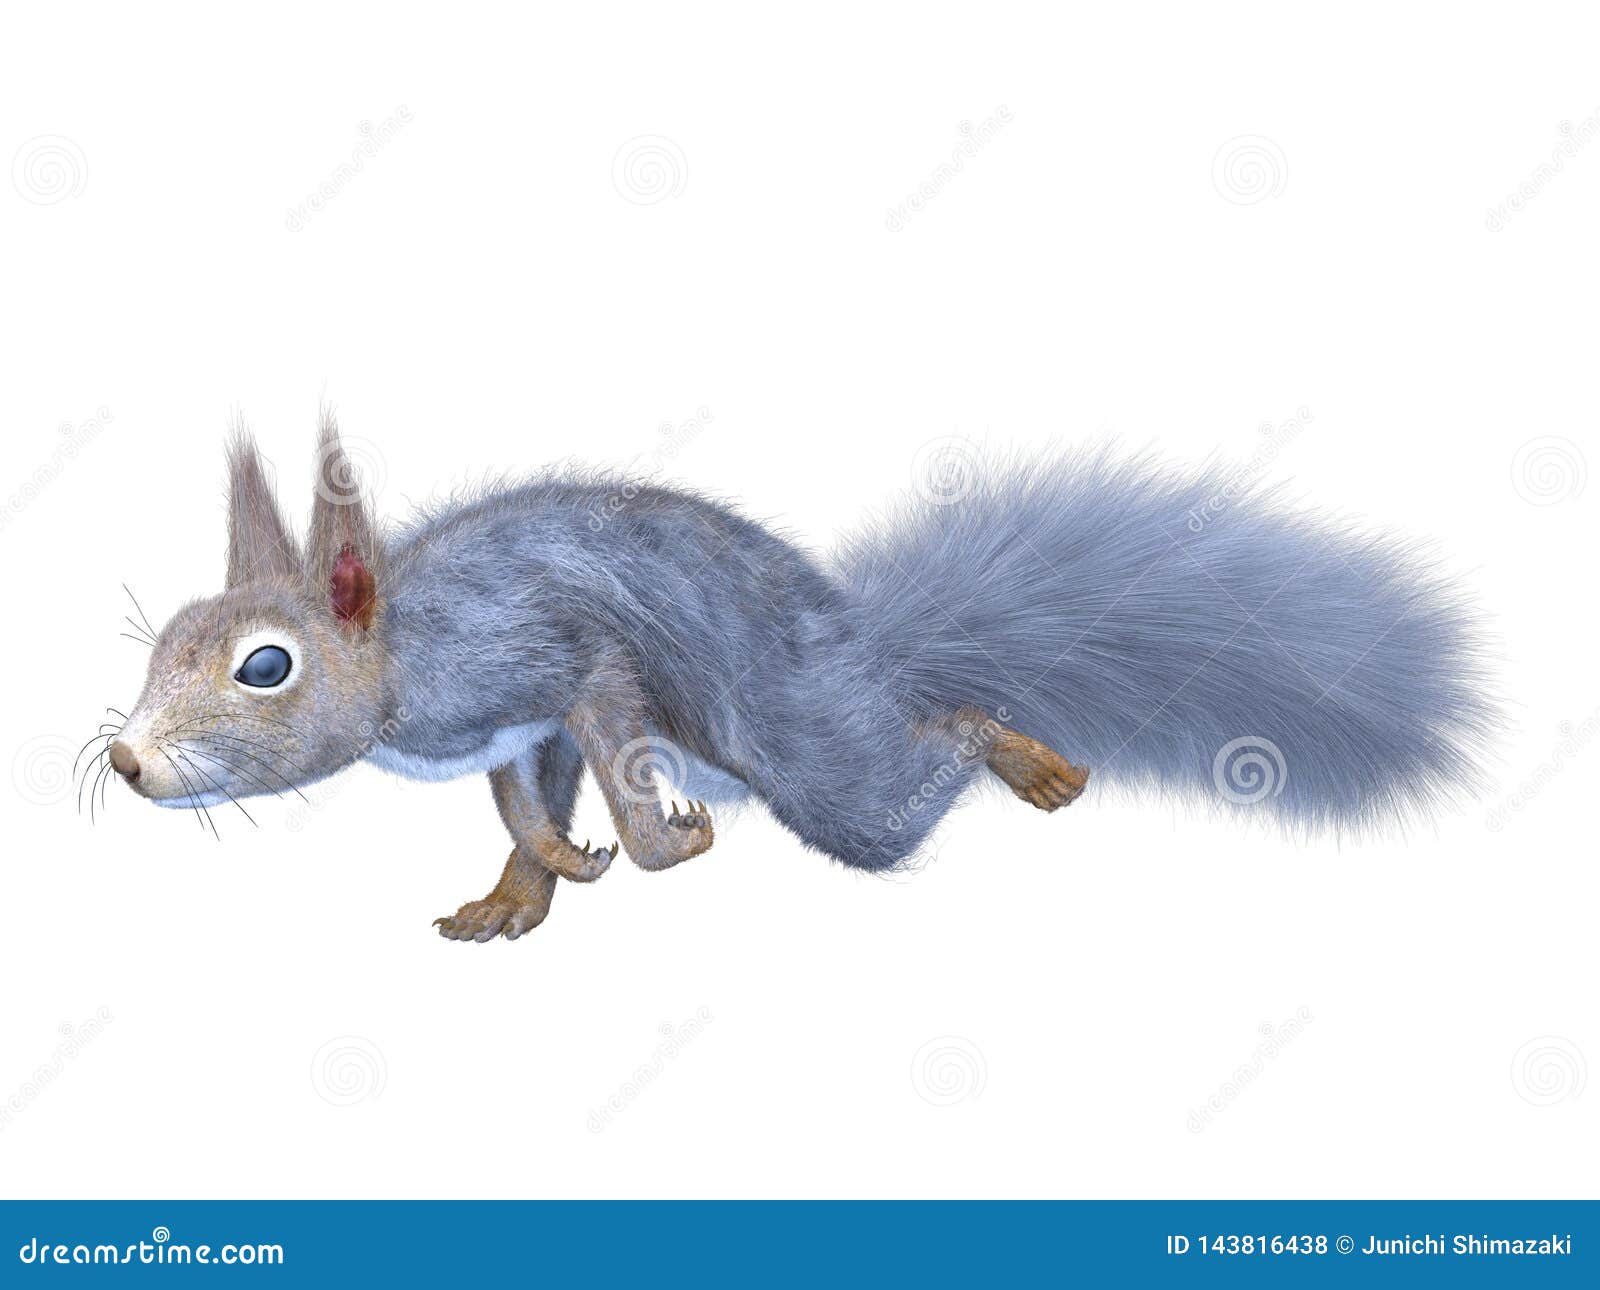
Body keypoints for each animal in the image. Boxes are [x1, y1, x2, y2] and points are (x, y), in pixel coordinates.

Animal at [92, 413, 1493, 942]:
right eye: (161, 643)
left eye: (264, 666)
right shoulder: (514, 728)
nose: (125, 758)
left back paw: (1028, 755)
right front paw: (531, 882)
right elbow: (529, 804)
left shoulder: (557, 655)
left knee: (940, 736)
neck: (404, 648)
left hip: (824, 768)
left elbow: (611, 756)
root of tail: (860, 649)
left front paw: (657, 845)